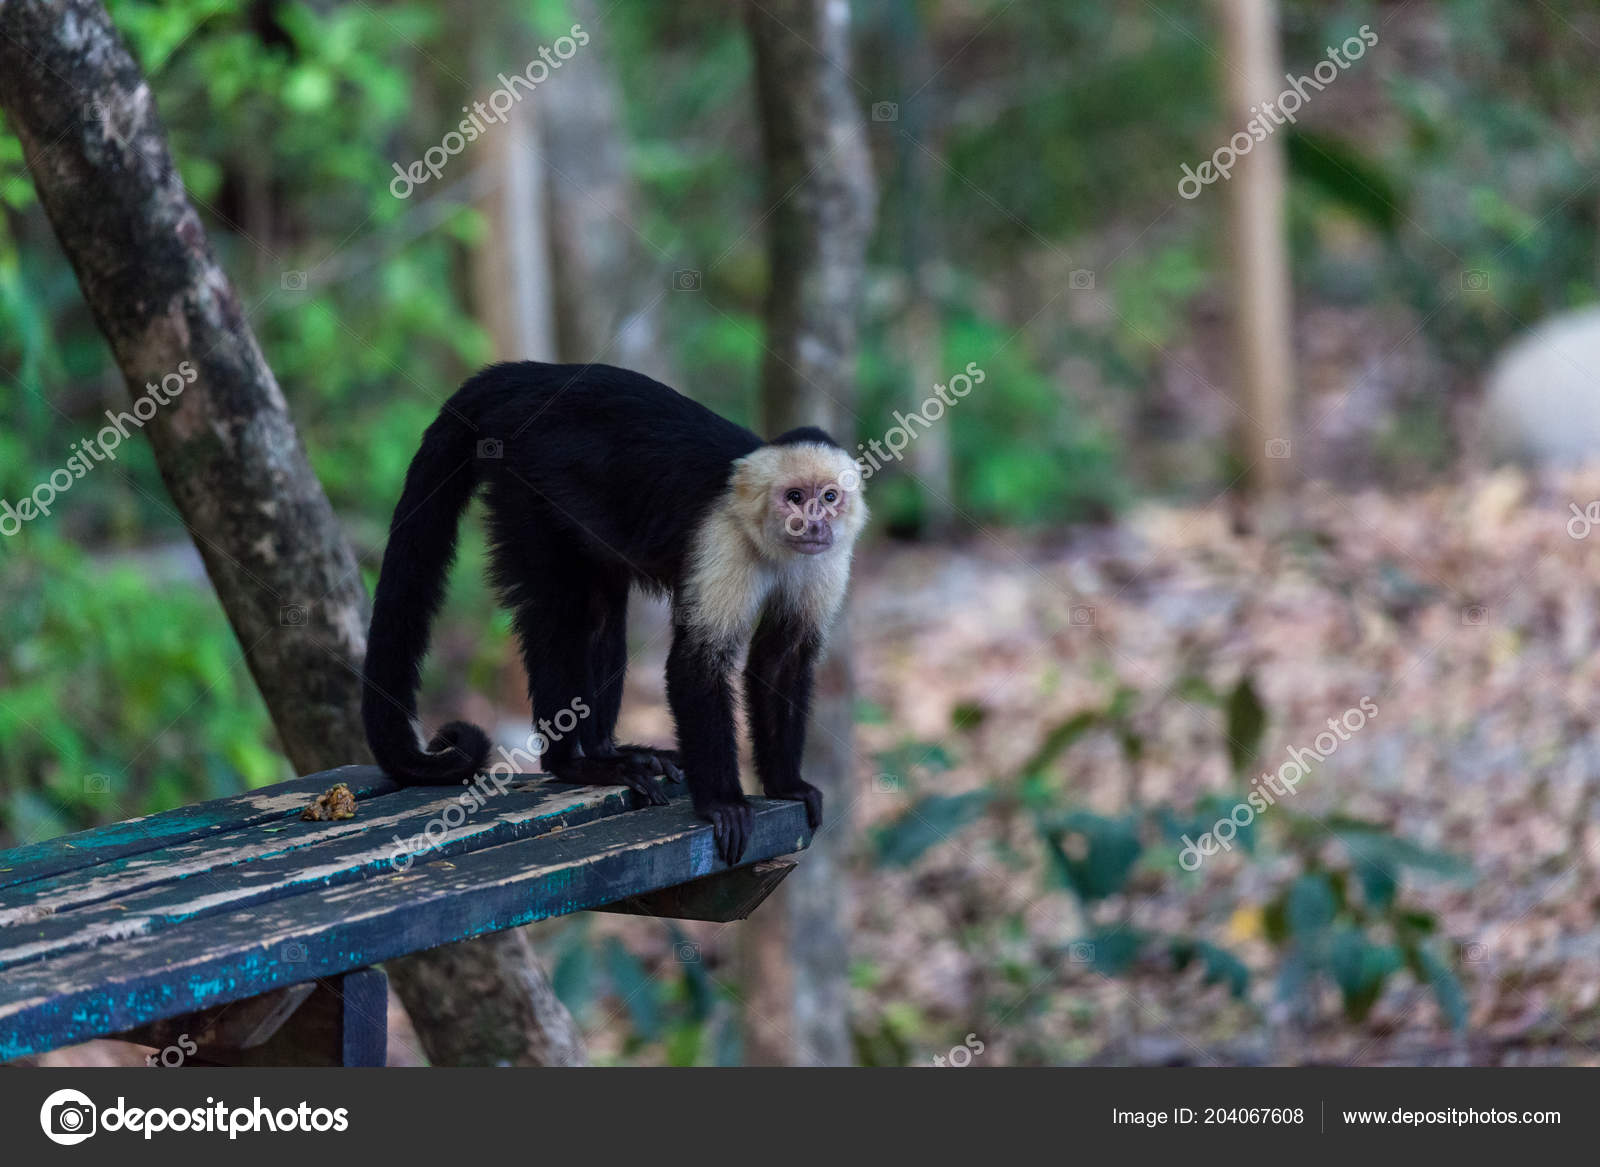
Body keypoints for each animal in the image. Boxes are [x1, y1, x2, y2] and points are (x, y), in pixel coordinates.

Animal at [361, 361, 866, 865]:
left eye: (829, 497)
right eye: (794, 496)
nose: (813, 522)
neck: (768, 540)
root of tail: (530, 376)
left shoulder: (828, 558)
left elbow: (782, 660)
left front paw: (786, 784)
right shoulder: (723, 540)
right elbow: (697, 665)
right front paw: (722, 803)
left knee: (602, 611)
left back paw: (609, 752)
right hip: (526, 478)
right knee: (560, 612)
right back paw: (573, 764)